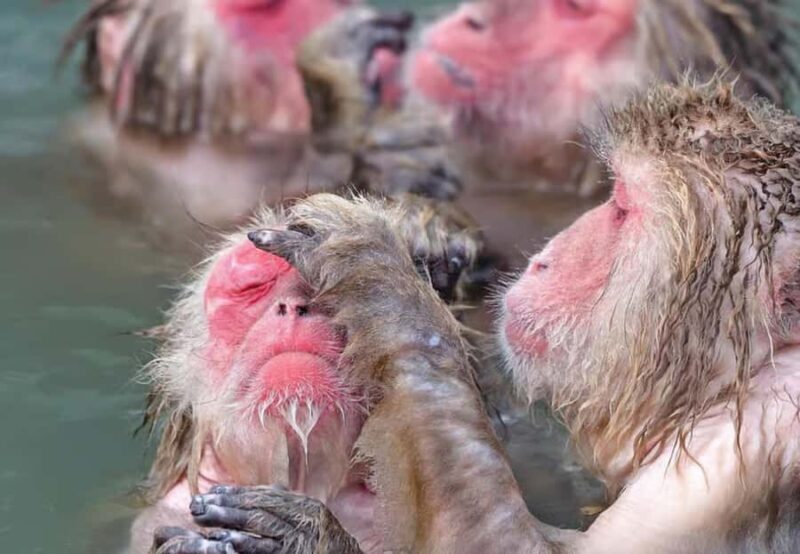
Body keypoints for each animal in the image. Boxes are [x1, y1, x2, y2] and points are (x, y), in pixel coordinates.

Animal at [185, 80, 800, 553]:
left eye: (623, 209)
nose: (547, 257)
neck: (731, 385)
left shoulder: (724, 466)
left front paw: (378, 273)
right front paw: (428, 236)